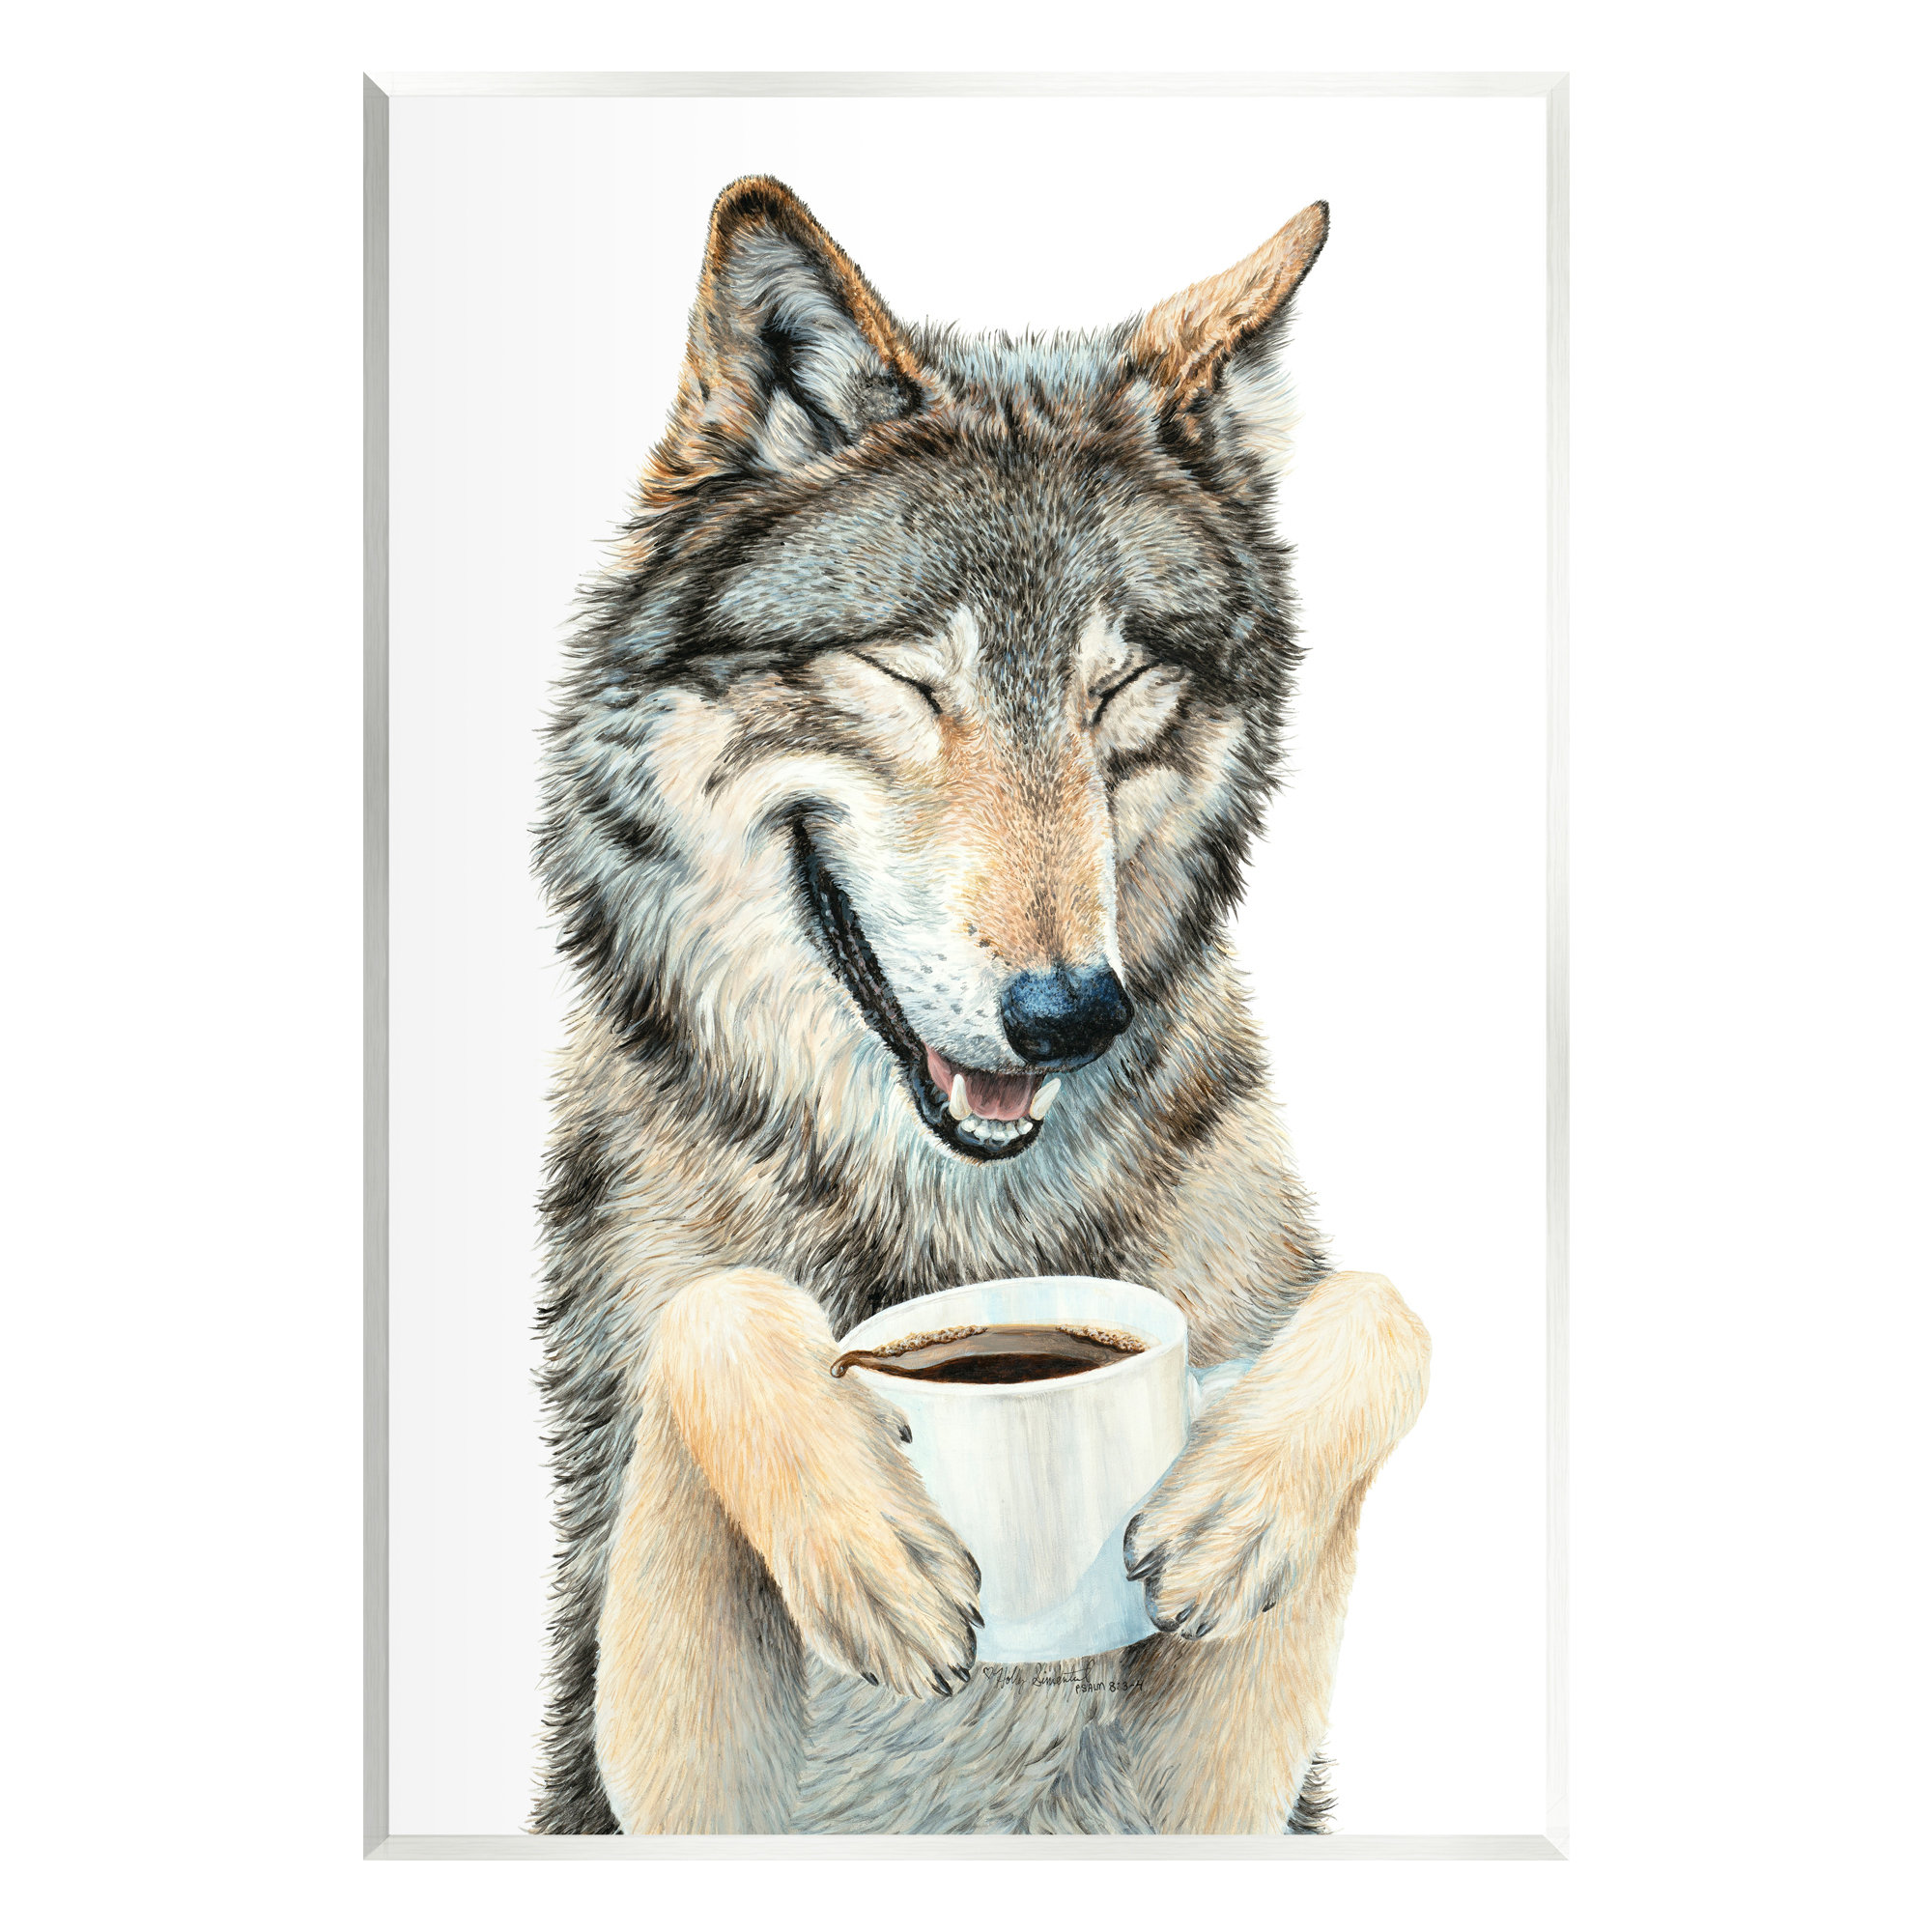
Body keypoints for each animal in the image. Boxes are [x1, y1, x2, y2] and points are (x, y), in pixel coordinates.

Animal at [531, 176, 1431, 1836]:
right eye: (907, 680)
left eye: (1117, 692)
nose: (1072, 1013)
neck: (961, 1227)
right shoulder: (647, 1768)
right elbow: (716, 1304)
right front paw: (864, 1541)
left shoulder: (1220, 1791)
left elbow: (1378, 1302)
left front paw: (1236, 1506)